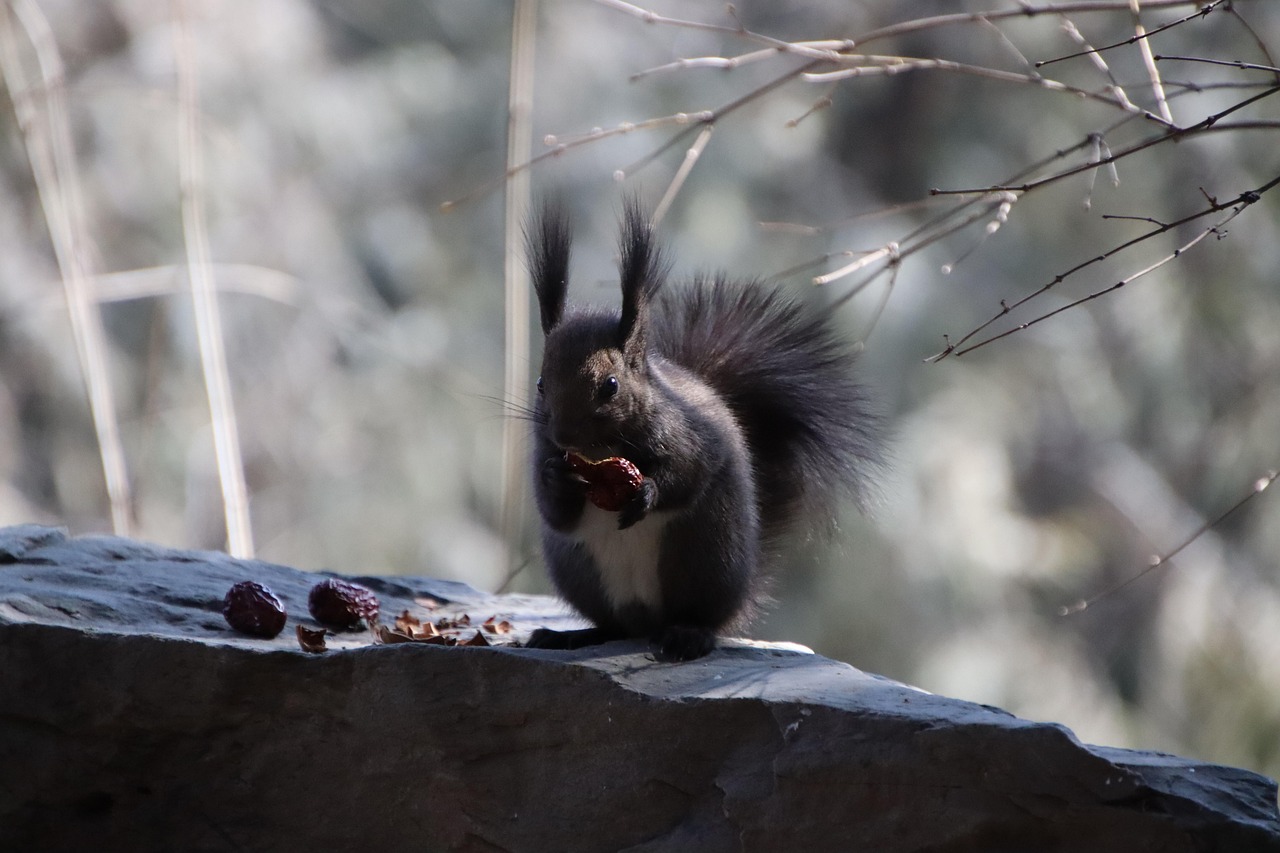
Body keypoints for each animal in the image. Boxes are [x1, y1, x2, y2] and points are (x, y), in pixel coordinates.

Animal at [525, 200, 881, 661]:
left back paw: (689, 636)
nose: (565, 438)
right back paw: (571, 636)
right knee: (611, 626)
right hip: (581, 572)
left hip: (705, 561)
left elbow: (689, 474)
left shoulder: (690, 435)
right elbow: (554, 511)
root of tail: (647, 623)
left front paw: (647, 492)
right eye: (540, 384)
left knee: (702, 618)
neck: (603, 452)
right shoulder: (540, 449)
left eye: (611, 385)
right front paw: (557, 478)